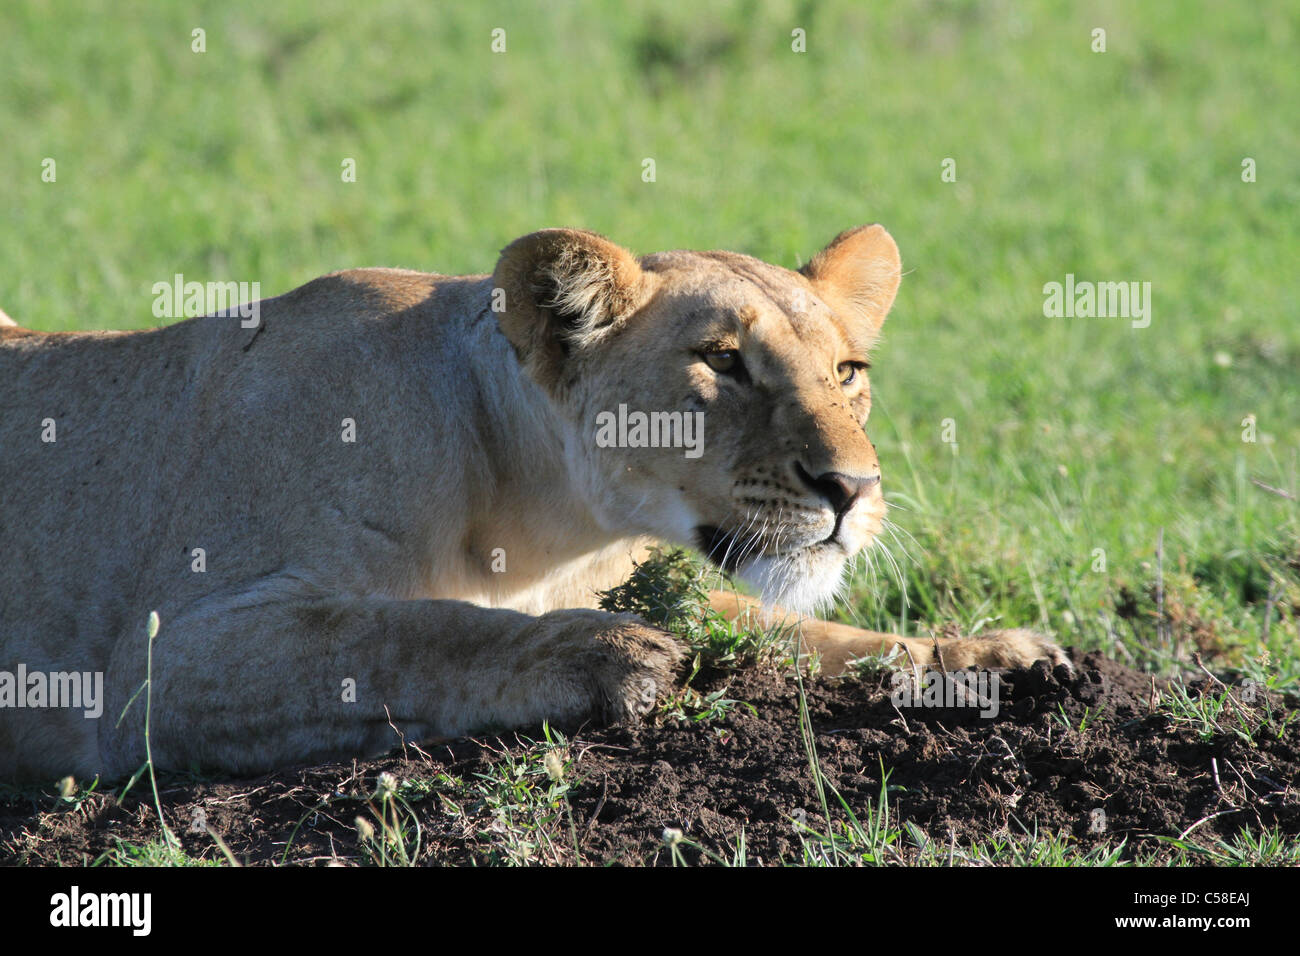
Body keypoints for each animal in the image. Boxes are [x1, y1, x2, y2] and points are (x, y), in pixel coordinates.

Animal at [0, 226, 1067, 780]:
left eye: (848, 372)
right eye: (723, 361)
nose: (854, 489)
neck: (554, 534)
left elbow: (809, 635)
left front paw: (989, 656)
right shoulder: (161, 663)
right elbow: (414, 630)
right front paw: (604, 654)